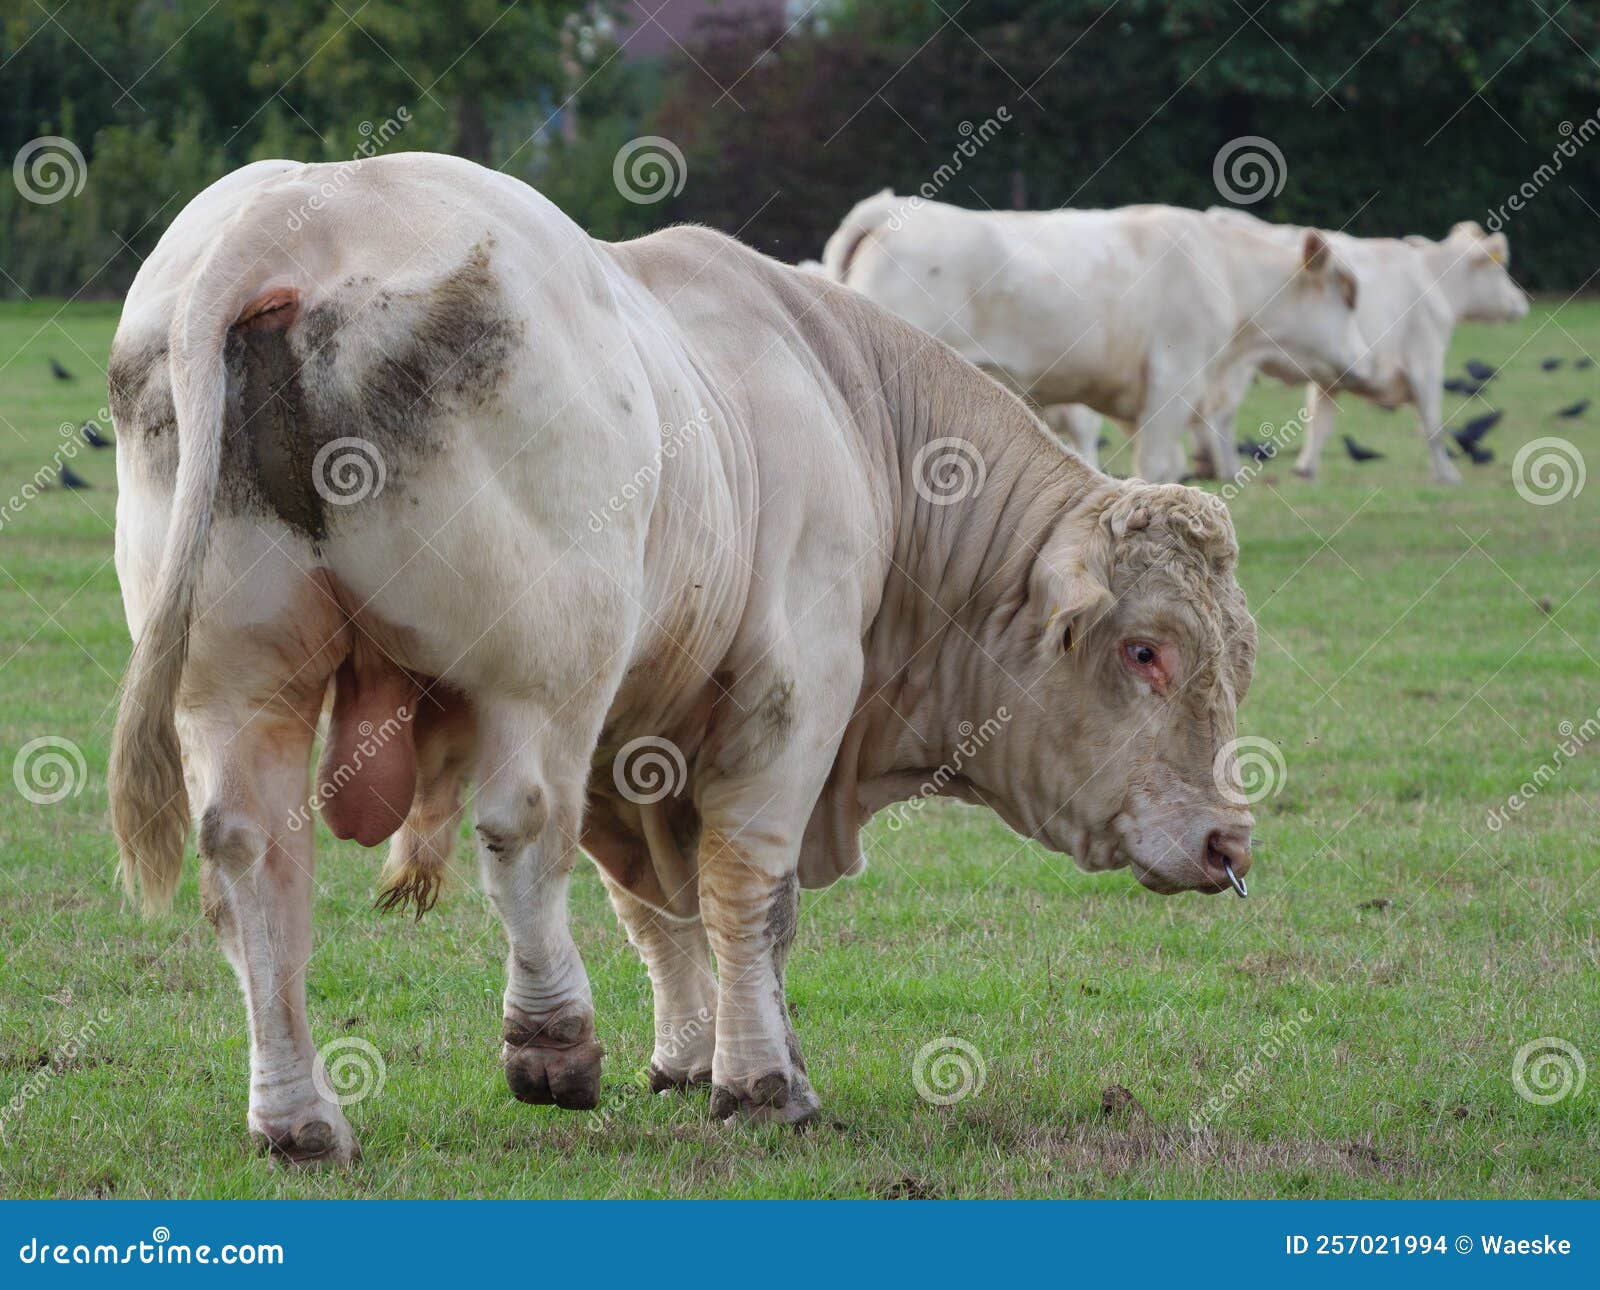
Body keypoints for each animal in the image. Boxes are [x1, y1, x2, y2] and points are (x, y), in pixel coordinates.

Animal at [107, 153, 1259, 1166]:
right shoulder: (792, 696)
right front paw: (762, 1081)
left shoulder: (640, 729)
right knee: (518, 831)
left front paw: (692, 1059)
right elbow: (751, 892)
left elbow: (656, 905)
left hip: (241, 682)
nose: (1227, 843)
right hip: (541, 671)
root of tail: (301, 208)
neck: (854, 416)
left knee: (254, 860)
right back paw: (551, 1041)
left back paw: (299, 1119)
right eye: (1147, 652)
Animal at [1200, 211, 1530, 482]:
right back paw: (1225, 470)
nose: (1523, 303)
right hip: (1236, 366)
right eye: (1501, 267)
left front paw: (1306, 469)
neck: (1432, 278)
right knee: (1220, 413)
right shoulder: (1426, 361)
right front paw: (1447, 475)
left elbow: (1319, 423)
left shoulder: (1329, 377)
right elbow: (1432, 424)